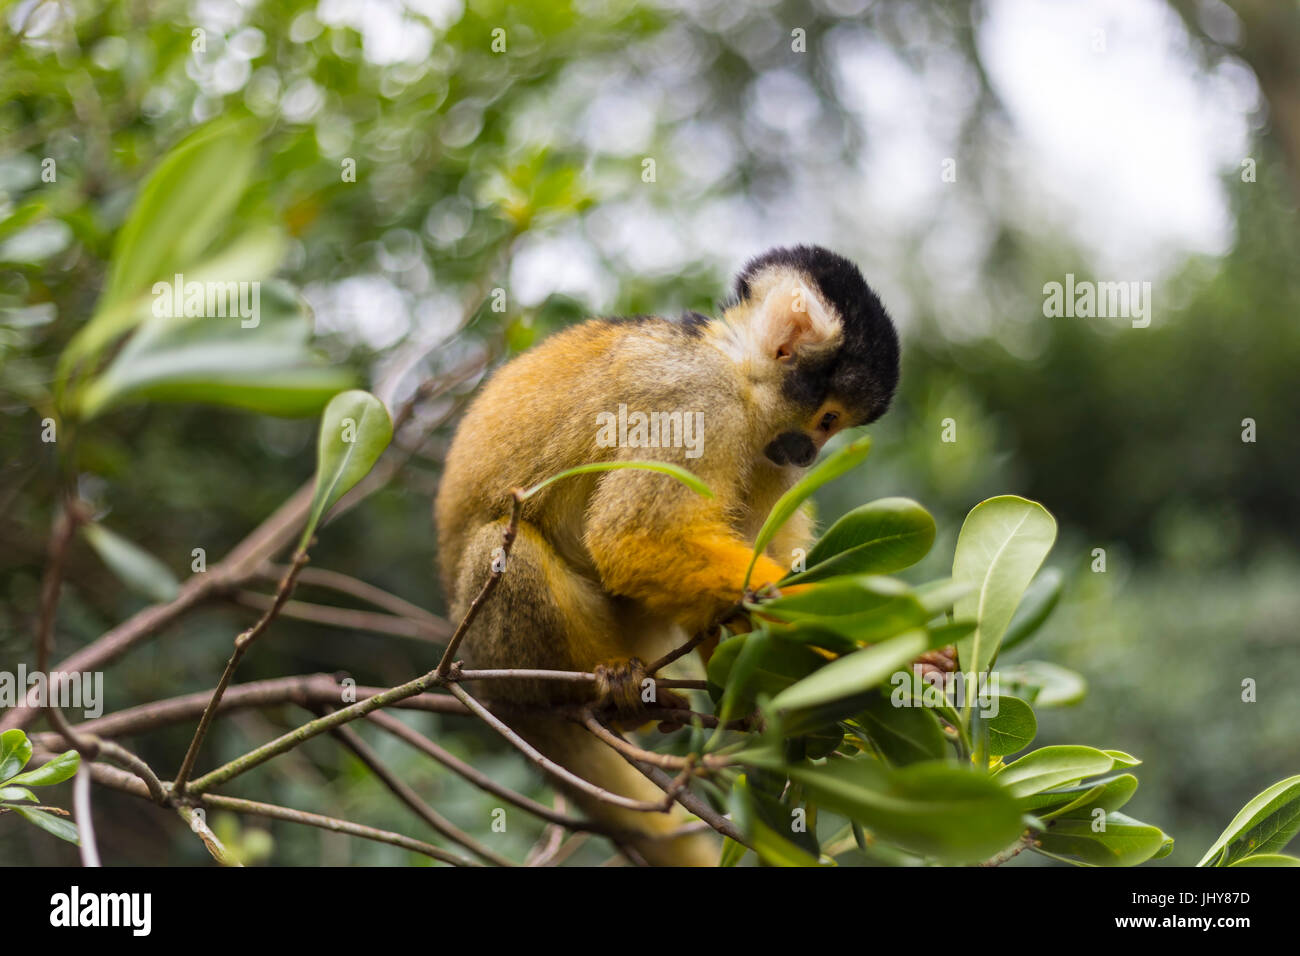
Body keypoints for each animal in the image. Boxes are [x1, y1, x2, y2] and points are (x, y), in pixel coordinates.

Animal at [434, 245, 899, 865]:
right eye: (827, 420)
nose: (810, 455)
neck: (731, 366)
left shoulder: (767, 449)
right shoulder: (698, 403)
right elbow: (630, 535)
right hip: (491, 645)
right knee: (503, 548)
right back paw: (605, 689)